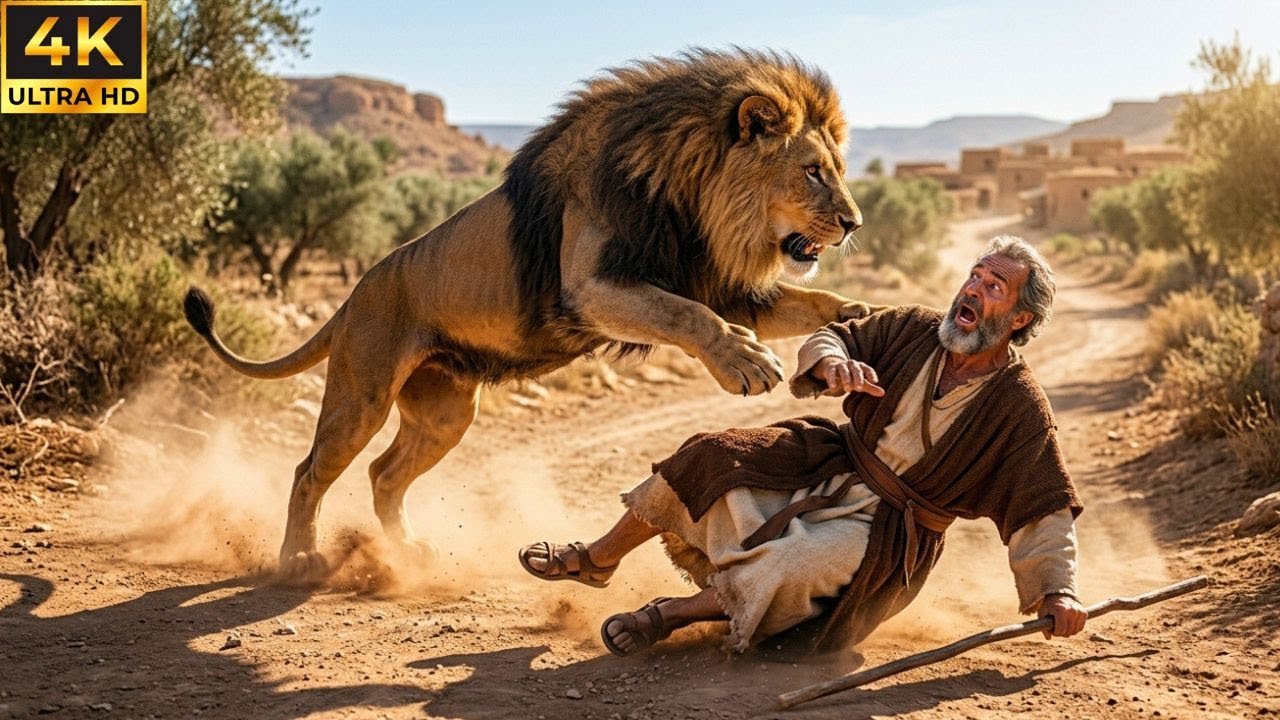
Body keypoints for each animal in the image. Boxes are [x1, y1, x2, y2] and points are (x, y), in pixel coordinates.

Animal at [184, 48, 878, 582]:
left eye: (838, 170)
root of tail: (353, 295)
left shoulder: (722, 285)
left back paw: (408, 550)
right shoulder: (594, 288)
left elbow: (806, 304)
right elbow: (685, 316)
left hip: (445, 413)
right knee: (309, 471)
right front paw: (746, 362)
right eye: (812, 172)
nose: (854, 223)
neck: (694, 202)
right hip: (363, 395)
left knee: (384, 473)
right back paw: (299, 559)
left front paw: (861, 312)